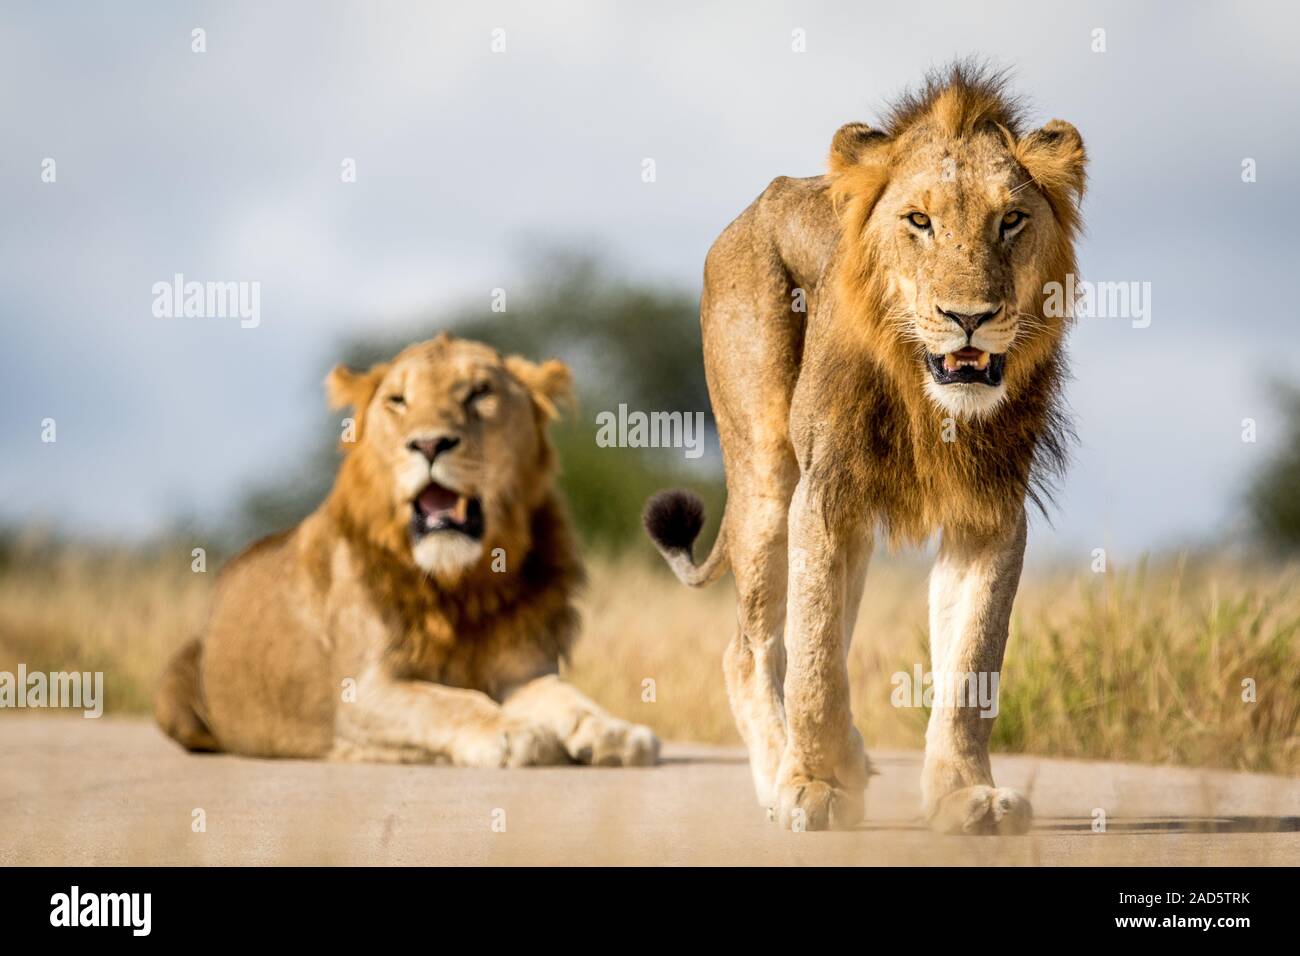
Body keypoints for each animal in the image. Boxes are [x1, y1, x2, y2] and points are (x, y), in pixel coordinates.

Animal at [156, 334, 659, 769]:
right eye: (397, 400)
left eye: (480, 392)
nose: (430, 443)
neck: (464, 584)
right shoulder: (361, 692)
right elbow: (447, 701)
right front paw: (514, 732)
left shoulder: (524, 669)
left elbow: (569, 698)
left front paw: (617, 733)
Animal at [645, 63, 1085, 832]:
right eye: (919, 221)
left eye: (1011, 220)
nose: (968, 317)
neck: (931, 402)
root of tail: (761, 202)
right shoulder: (823, 494)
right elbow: (816, 657)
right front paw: (811, 787)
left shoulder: (989, 510)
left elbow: (970, 661)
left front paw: (965, 796)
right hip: (767, 481)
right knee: (750, 648)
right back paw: (781, 776)